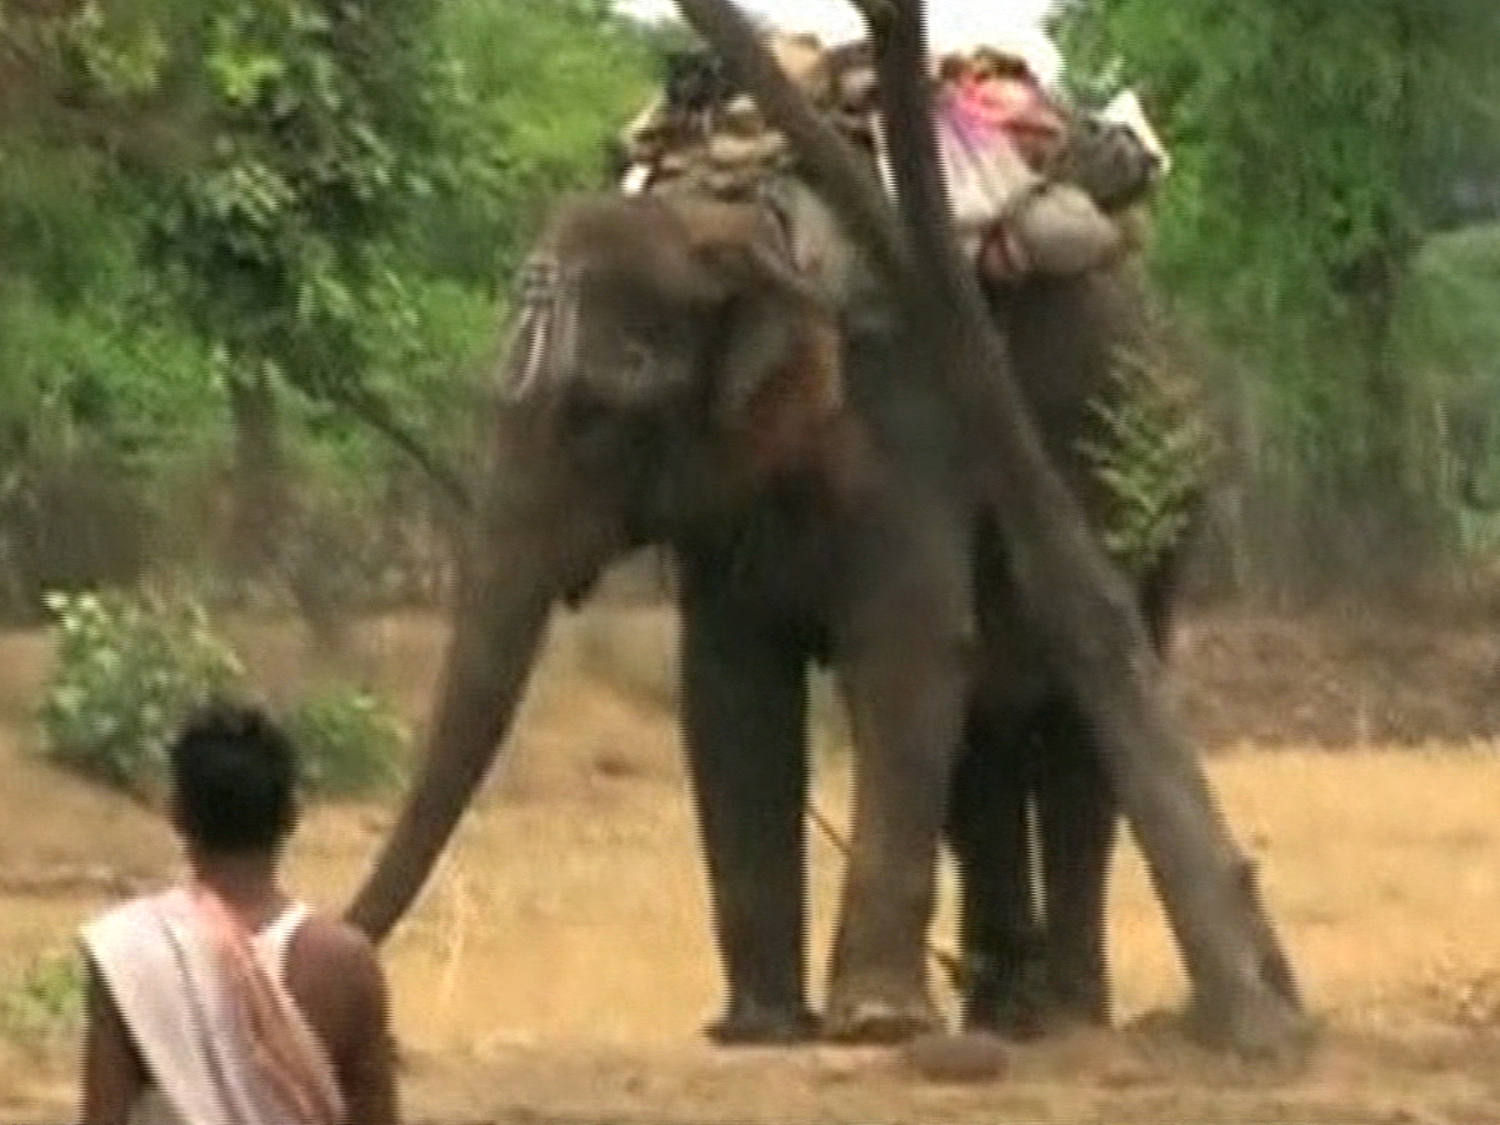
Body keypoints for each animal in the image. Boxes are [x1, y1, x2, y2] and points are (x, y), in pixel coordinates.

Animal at [346, 130, 1178, 1045]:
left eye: (597, 413)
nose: (389, 1023)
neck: (734, 224)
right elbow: (730, 684)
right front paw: (759, 1029)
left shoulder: (916, 414)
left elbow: (909, 647)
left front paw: (874, 1023)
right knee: (986, 737)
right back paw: (1007, 1014)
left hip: (1152, 500)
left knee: (1080, 723)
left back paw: (1066, 1017)